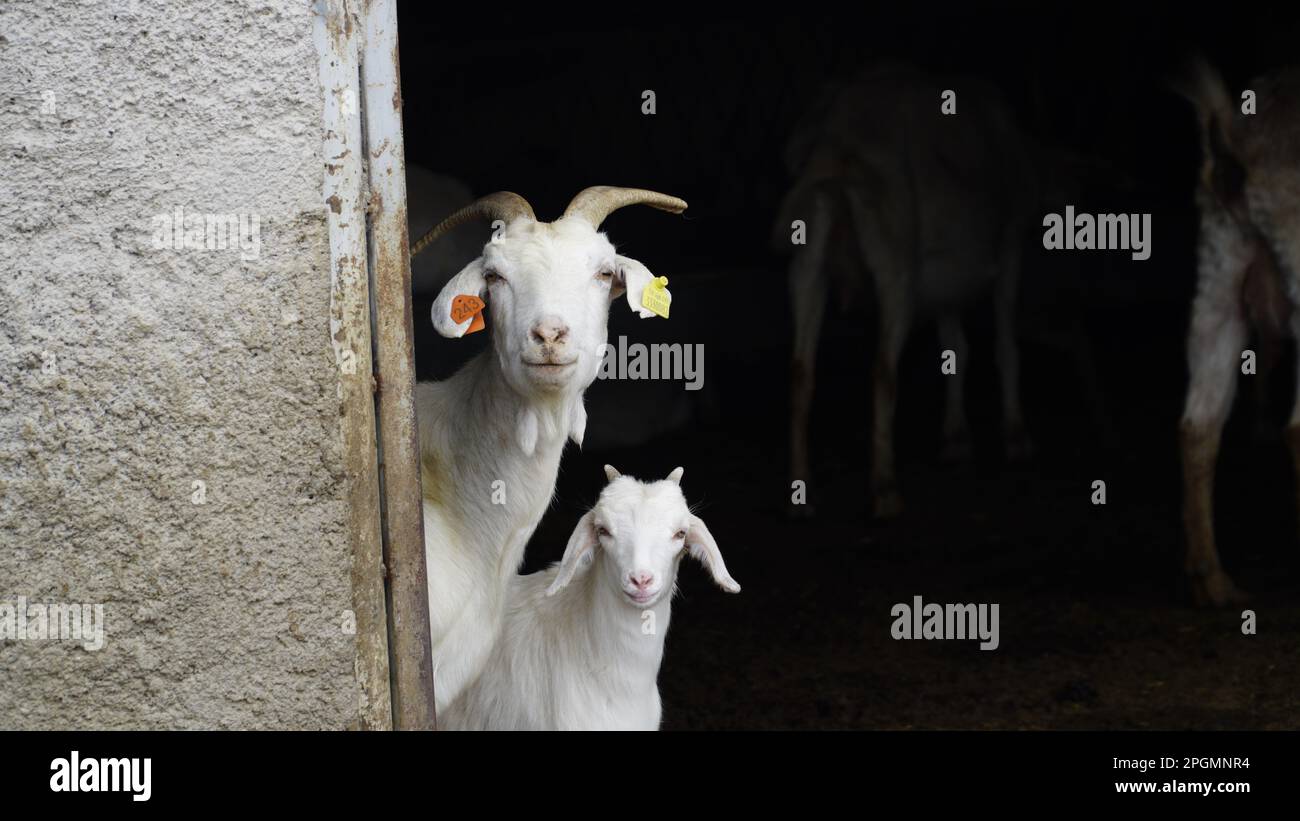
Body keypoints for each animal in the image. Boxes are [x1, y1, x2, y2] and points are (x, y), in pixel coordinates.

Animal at [780, 64, 1039, 518]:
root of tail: (839, 137)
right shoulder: (1010, 242)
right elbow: (1005, 347)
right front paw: (1015, 436)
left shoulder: (945, 278)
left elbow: (956, 349)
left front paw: (957, 437)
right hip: (898, 262)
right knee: (884, 370)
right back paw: (885, 488)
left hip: (810, 258)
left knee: (800, 371)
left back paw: (801, 492)